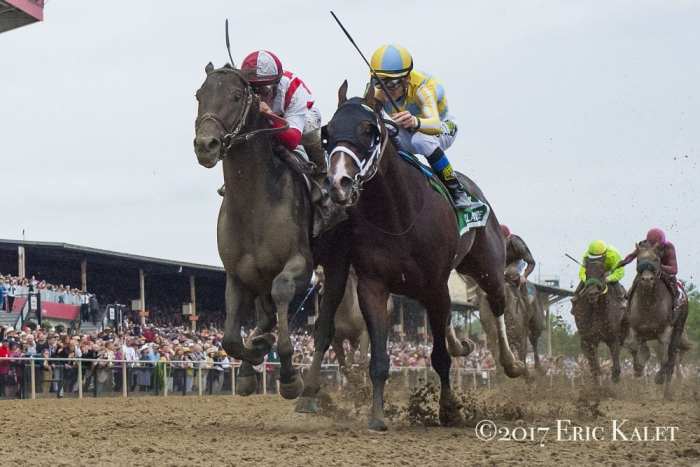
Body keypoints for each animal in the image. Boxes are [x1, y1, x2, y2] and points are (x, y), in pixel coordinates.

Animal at [193, 62, 313, 399]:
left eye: (236, 96)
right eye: (199, 95)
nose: (205, 145)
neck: (253, 204)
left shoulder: (302, 262)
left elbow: (282, 290)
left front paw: (290, 376)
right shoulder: (238, 274)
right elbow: (231, 339)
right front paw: (255, 353)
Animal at [302, 83, 525, 431]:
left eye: (369, 130)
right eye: (328, 133)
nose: (339, 183)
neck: (397, 215)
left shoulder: (436, 284)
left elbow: (439, 357)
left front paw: (448, 409)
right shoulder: (373, 285)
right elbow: (379, 358)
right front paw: (377, 416)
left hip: (487, 265)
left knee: (497, 303)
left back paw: (512, 363)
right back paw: (462, 344)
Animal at [572, 255, 626, 385]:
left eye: (602, 273)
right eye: (586, 273)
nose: (592, 293)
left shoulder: (613, 338)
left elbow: (616, 368)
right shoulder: (589, 340)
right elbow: (595, 368)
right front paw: (598, 387)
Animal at [624, 241, 691, 399]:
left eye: (656, 260)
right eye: (638, 260)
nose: (647, 279)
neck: (649, 304)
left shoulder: (665, 331)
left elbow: (665, 358)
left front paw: (659, 377)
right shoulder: (635, 329)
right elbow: (633, 347)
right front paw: (638, 369)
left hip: (678, 329)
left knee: (671, 358)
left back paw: (667, 392)